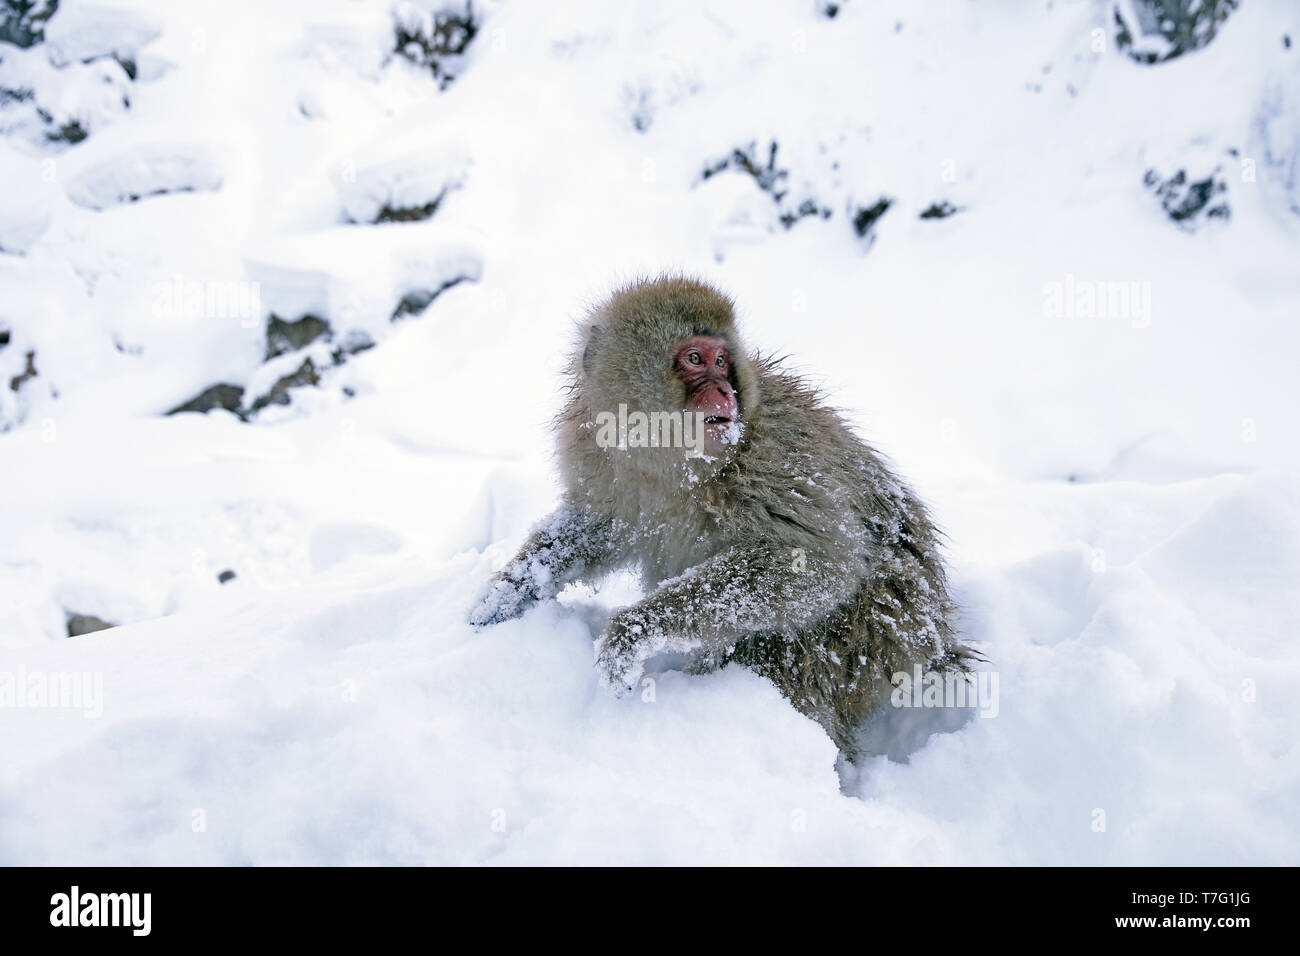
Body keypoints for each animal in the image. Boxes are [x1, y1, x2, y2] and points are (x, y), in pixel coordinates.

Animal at [468, 275, 977, 761]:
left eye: (721, 360)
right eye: (694, 358)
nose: (725, 391)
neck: (670, 460)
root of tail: (933, 634)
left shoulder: (774, 458)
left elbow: (819, 559)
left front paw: (635, 630)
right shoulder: (599, 455)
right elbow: (595, 527)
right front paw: (508, 594)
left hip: (871, 635)